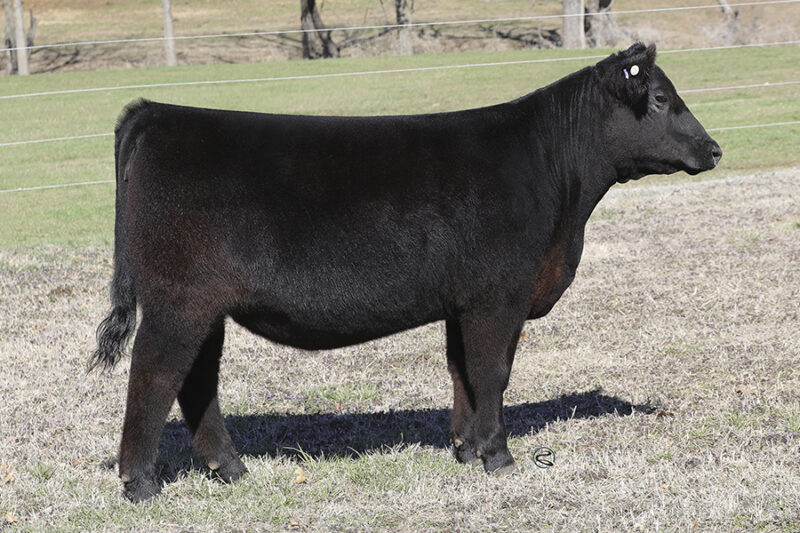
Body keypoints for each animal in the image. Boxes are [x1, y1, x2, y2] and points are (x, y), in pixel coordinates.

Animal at [91, 43, 721, 501]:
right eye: (659, 98)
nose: (714, 149)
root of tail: (155, 113)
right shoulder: (499, 294)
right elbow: (493, 371)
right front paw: (498, 456)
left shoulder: (462, 299)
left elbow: (462, 371)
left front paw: (465, 449)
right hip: (179, 300)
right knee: (155, 373)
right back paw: (141, 484)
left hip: (207, 306)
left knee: (196, 380)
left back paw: (231, 469)